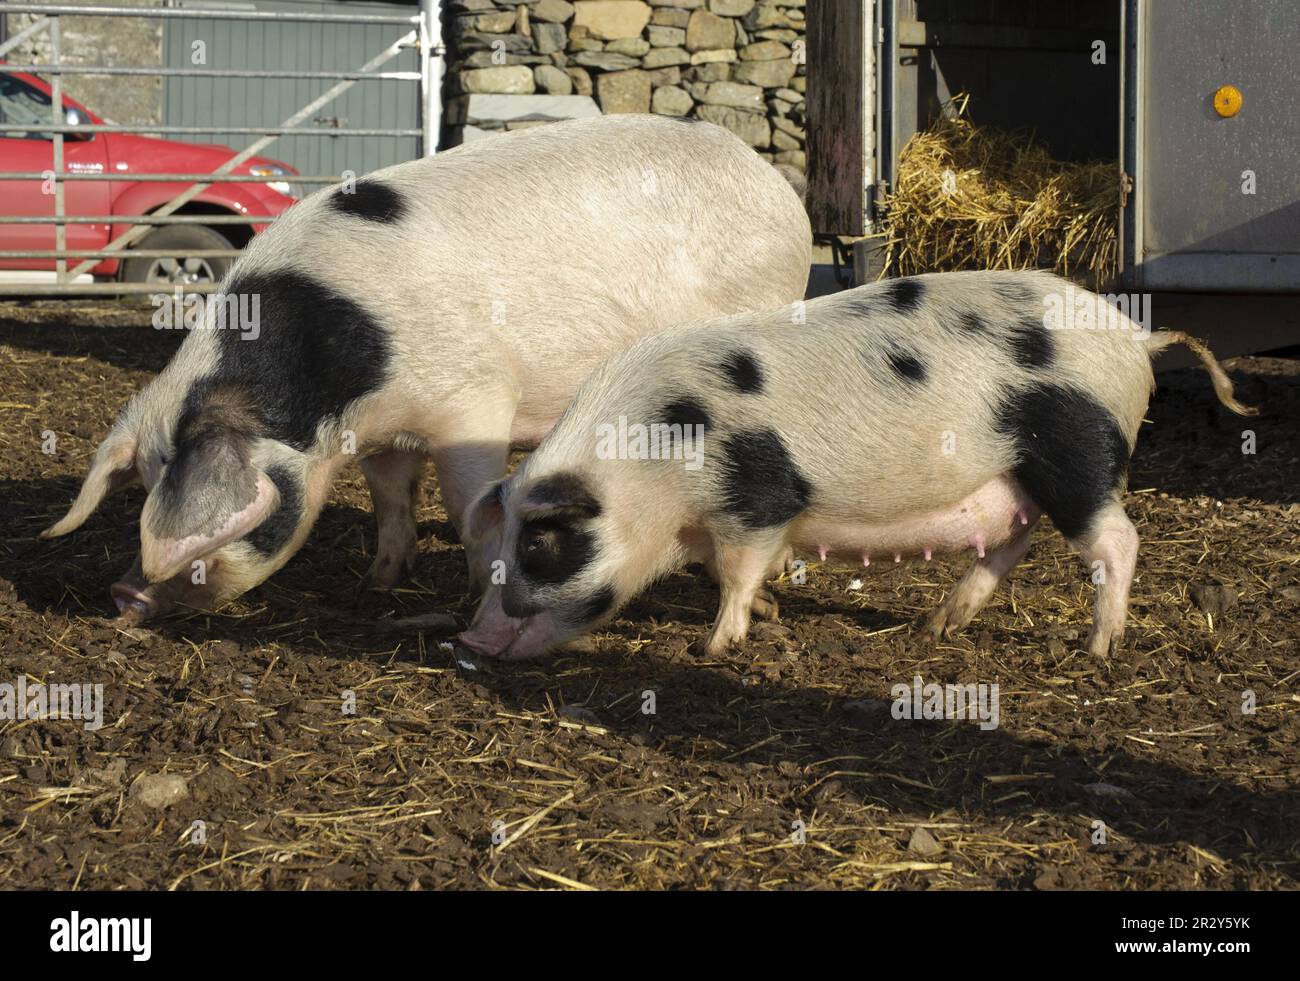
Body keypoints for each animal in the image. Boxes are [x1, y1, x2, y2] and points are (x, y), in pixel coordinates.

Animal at [39, 114, 812, 621]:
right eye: (143, 485)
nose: (124, 595)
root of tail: (771, 181)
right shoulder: (383, 436)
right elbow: (391, 502)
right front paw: (376, 584)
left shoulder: (475, 403)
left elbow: (470, 508)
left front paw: (474, 590)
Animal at [459, 270, 1256, 660]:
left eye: (542, 543)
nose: (467, 637)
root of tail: (1137, 337)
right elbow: (725, 569)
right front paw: (771, 611)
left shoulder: (758, 497)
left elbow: (738, 569)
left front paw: (712, 645)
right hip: (1013, 473)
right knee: (1011, 541)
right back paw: (939, 627)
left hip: (1076, 453)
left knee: (1117, 540)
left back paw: (1096, 649)